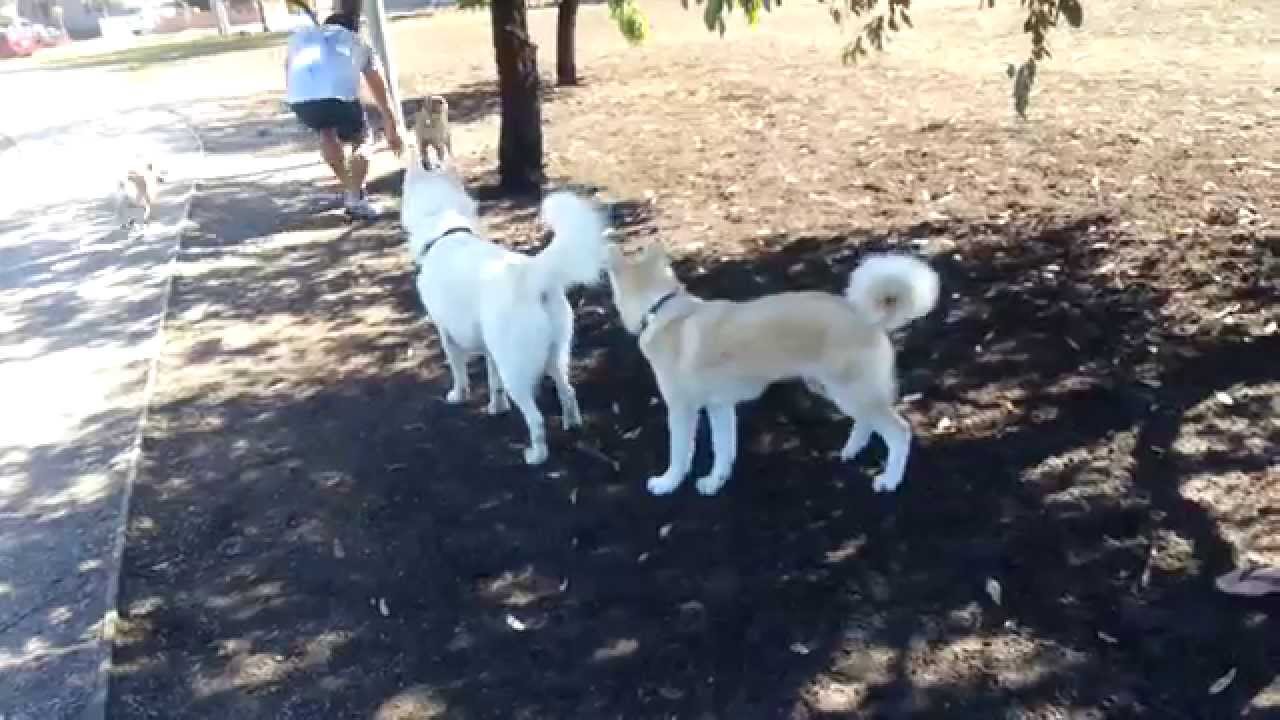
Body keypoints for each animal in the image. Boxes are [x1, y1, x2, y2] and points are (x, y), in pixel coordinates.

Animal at [404, 142, 609, 461]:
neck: (444, 226)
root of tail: (532, 274)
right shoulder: (490, 349)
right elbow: (493, 381)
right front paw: (496, 407)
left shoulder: (446, 334)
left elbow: (458, 371)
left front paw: (458, 396)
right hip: (556, 355)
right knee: (568, 392)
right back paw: (572, 425)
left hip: (517, 369)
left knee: (536, 419)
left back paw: (536, 455)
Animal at [604, 243, 936, 497]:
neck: (659, 309)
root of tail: (866, 316)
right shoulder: (719, 407)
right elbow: (723, 450)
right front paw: (715, 482)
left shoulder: (682, 410)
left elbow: (679, 454)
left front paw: (667, 484)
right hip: (838, 391)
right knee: (866, 422)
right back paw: (851, 451)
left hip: (850, 393)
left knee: (899, 432)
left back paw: (890, 480)